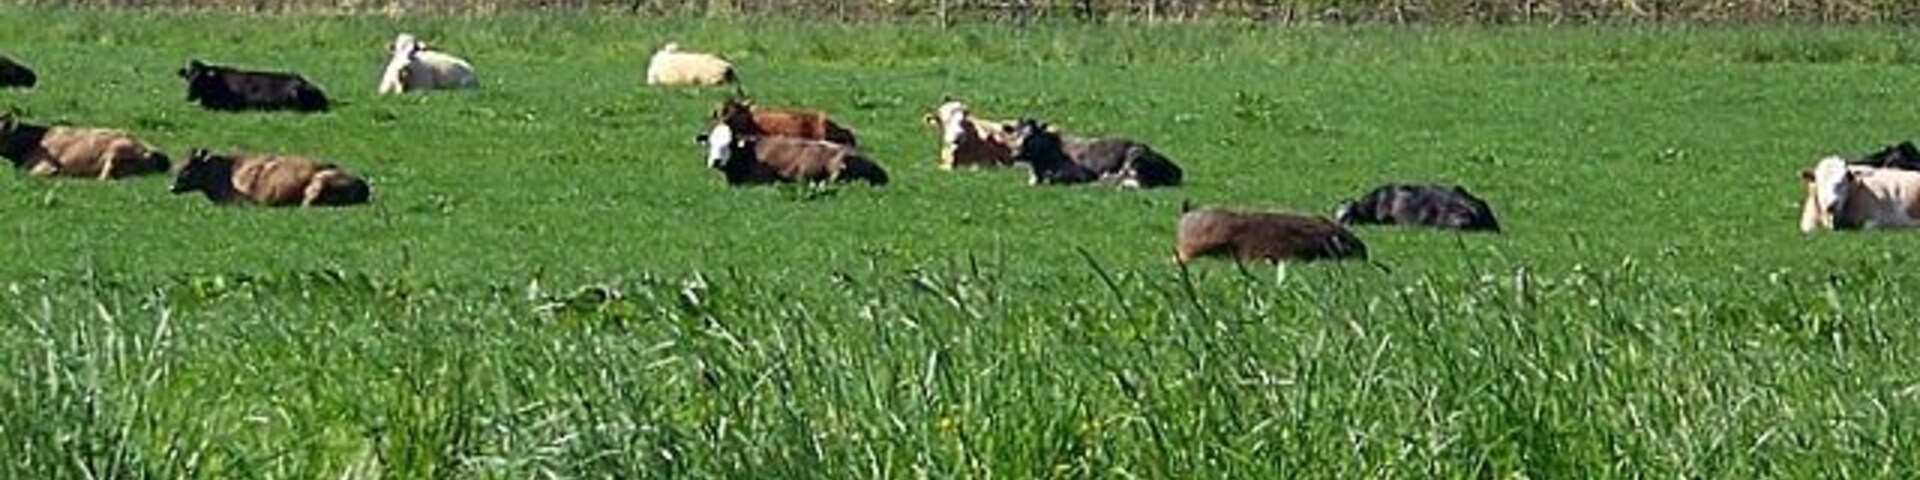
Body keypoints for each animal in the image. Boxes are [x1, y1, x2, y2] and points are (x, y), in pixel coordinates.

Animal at [1003, 118, 1182, 188]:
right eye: (1015, 134)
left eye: (1031, 136)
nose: (1014, 154)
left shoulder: (1079, 174)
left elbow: (1053, 179)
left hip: (1133, 160)